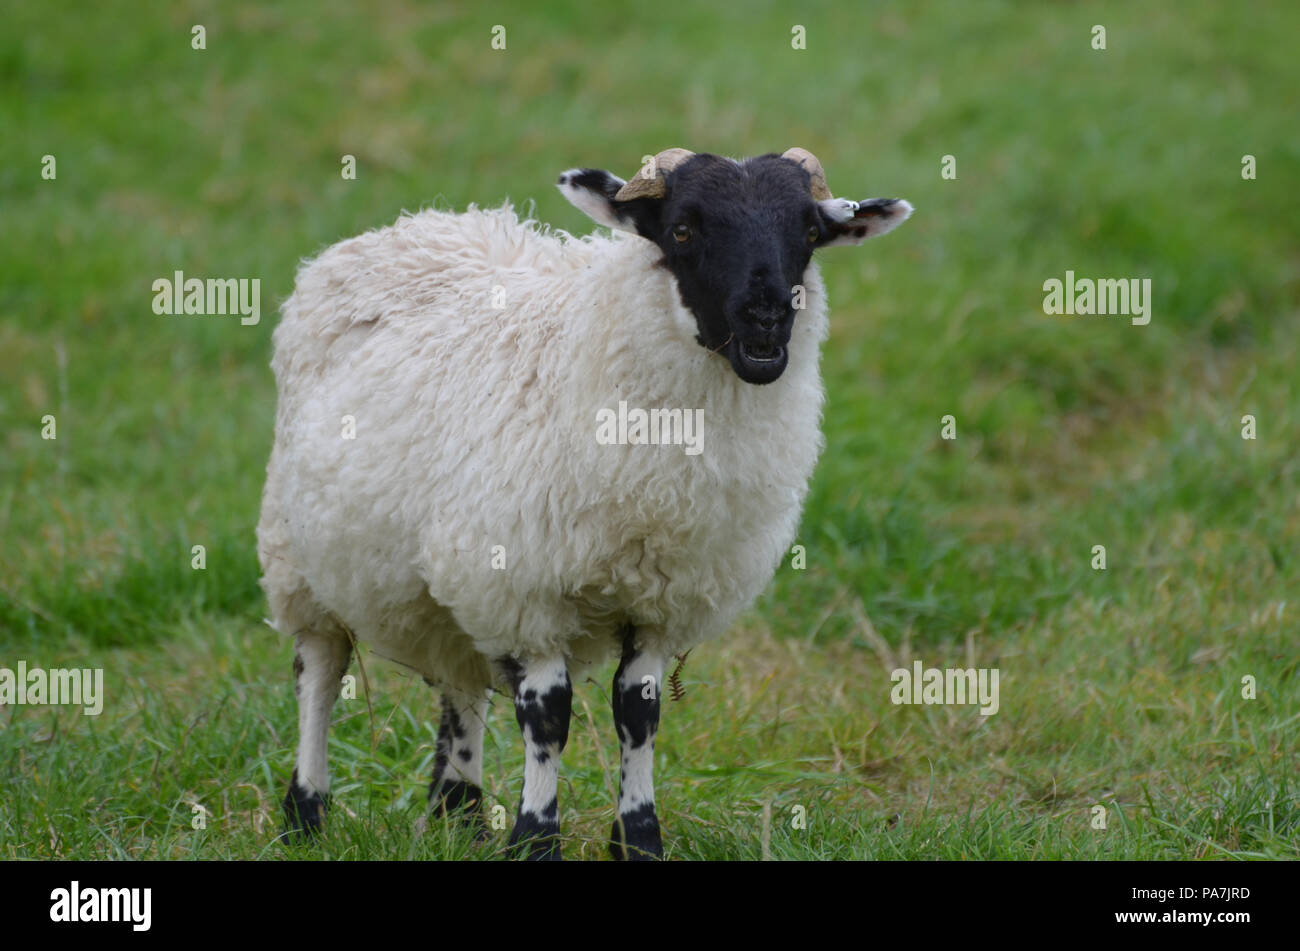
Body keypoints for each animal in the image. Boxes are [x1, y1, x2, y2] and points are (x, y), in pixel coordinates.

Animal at [258, 148, 912, 860]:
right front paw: (535, 838)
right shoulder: (525, 589)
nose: (766, 317)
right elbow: (549, 717)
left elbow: (639, 712)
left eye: (810, 233)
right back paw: (306, 813)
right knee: (319, 671)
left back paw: (458, 814)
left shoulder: (660, 601)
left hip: (450, 577)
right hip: (300, 554)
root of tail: (408, 227)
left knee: (460, 684)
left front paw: (639, 838)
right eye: (683, 230)